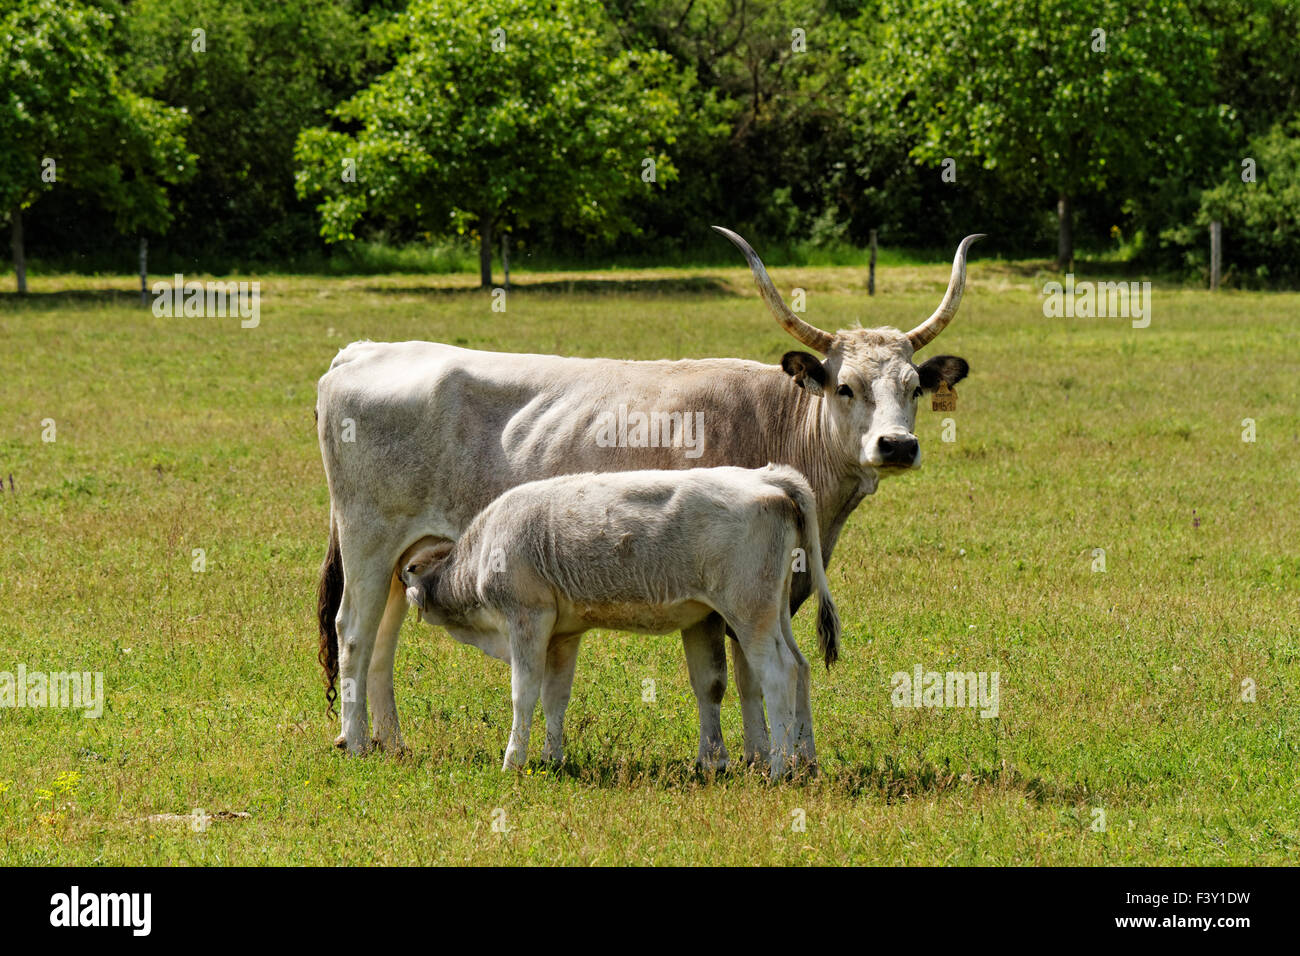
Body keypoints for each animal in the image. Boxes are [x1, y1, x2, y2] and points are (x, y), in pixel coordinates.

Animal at [398, 464, 840, 775]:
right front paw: (553, 758)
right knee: (801, 668)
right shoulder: (564, 635)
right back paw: (807, 761)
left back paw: (781, 768)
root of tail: (768, 477)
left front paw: (513, 761)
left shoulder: (527, 618)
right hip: (774, 612)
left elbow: (523, 694)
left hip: (750, 613)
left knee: (780, 672)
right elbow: (555, 696)